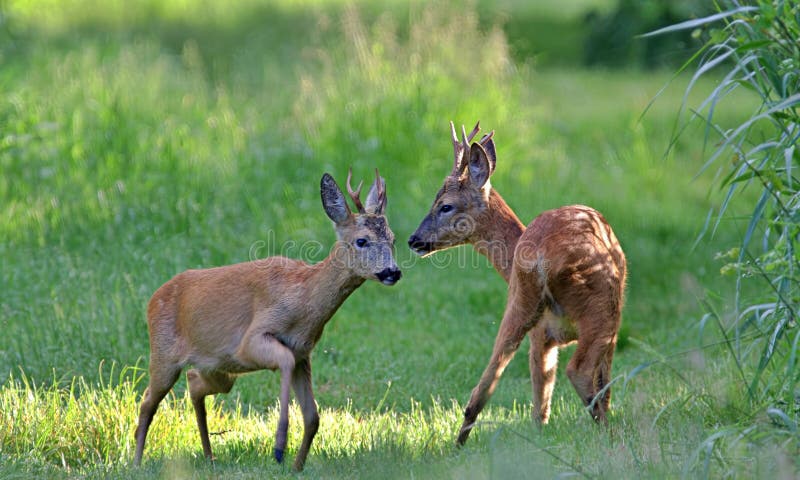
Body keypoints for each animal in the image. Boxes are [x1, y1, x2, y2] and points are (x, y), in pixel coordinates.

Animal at [133, 169, 401, 471]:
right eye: (361, 240)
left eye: (393, 239)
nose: (392, 271)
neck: (303, 301)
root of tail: (153, 299)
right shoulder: (252, 339)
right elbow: (284, 362)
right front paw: (279, 447)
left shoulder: (303, 353)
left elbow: (313, 416)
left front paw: (296, 467)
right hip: (164, 353)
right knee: (147, 401)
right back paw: (137, 462)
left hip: (218, 367)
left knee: (194, 383)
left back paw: (209, 456)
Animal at [408, 122, 626, 445]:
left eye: (445, 206)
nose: (414, 239)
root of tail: (540, 253)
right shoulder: (550, 334)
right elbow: (602, 383)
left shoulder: (539, 330)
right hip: (602, 307)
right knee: (581, 371)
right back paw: (609, 435)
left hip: (519, 303)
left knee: (486, 386)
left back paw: (459, 444)